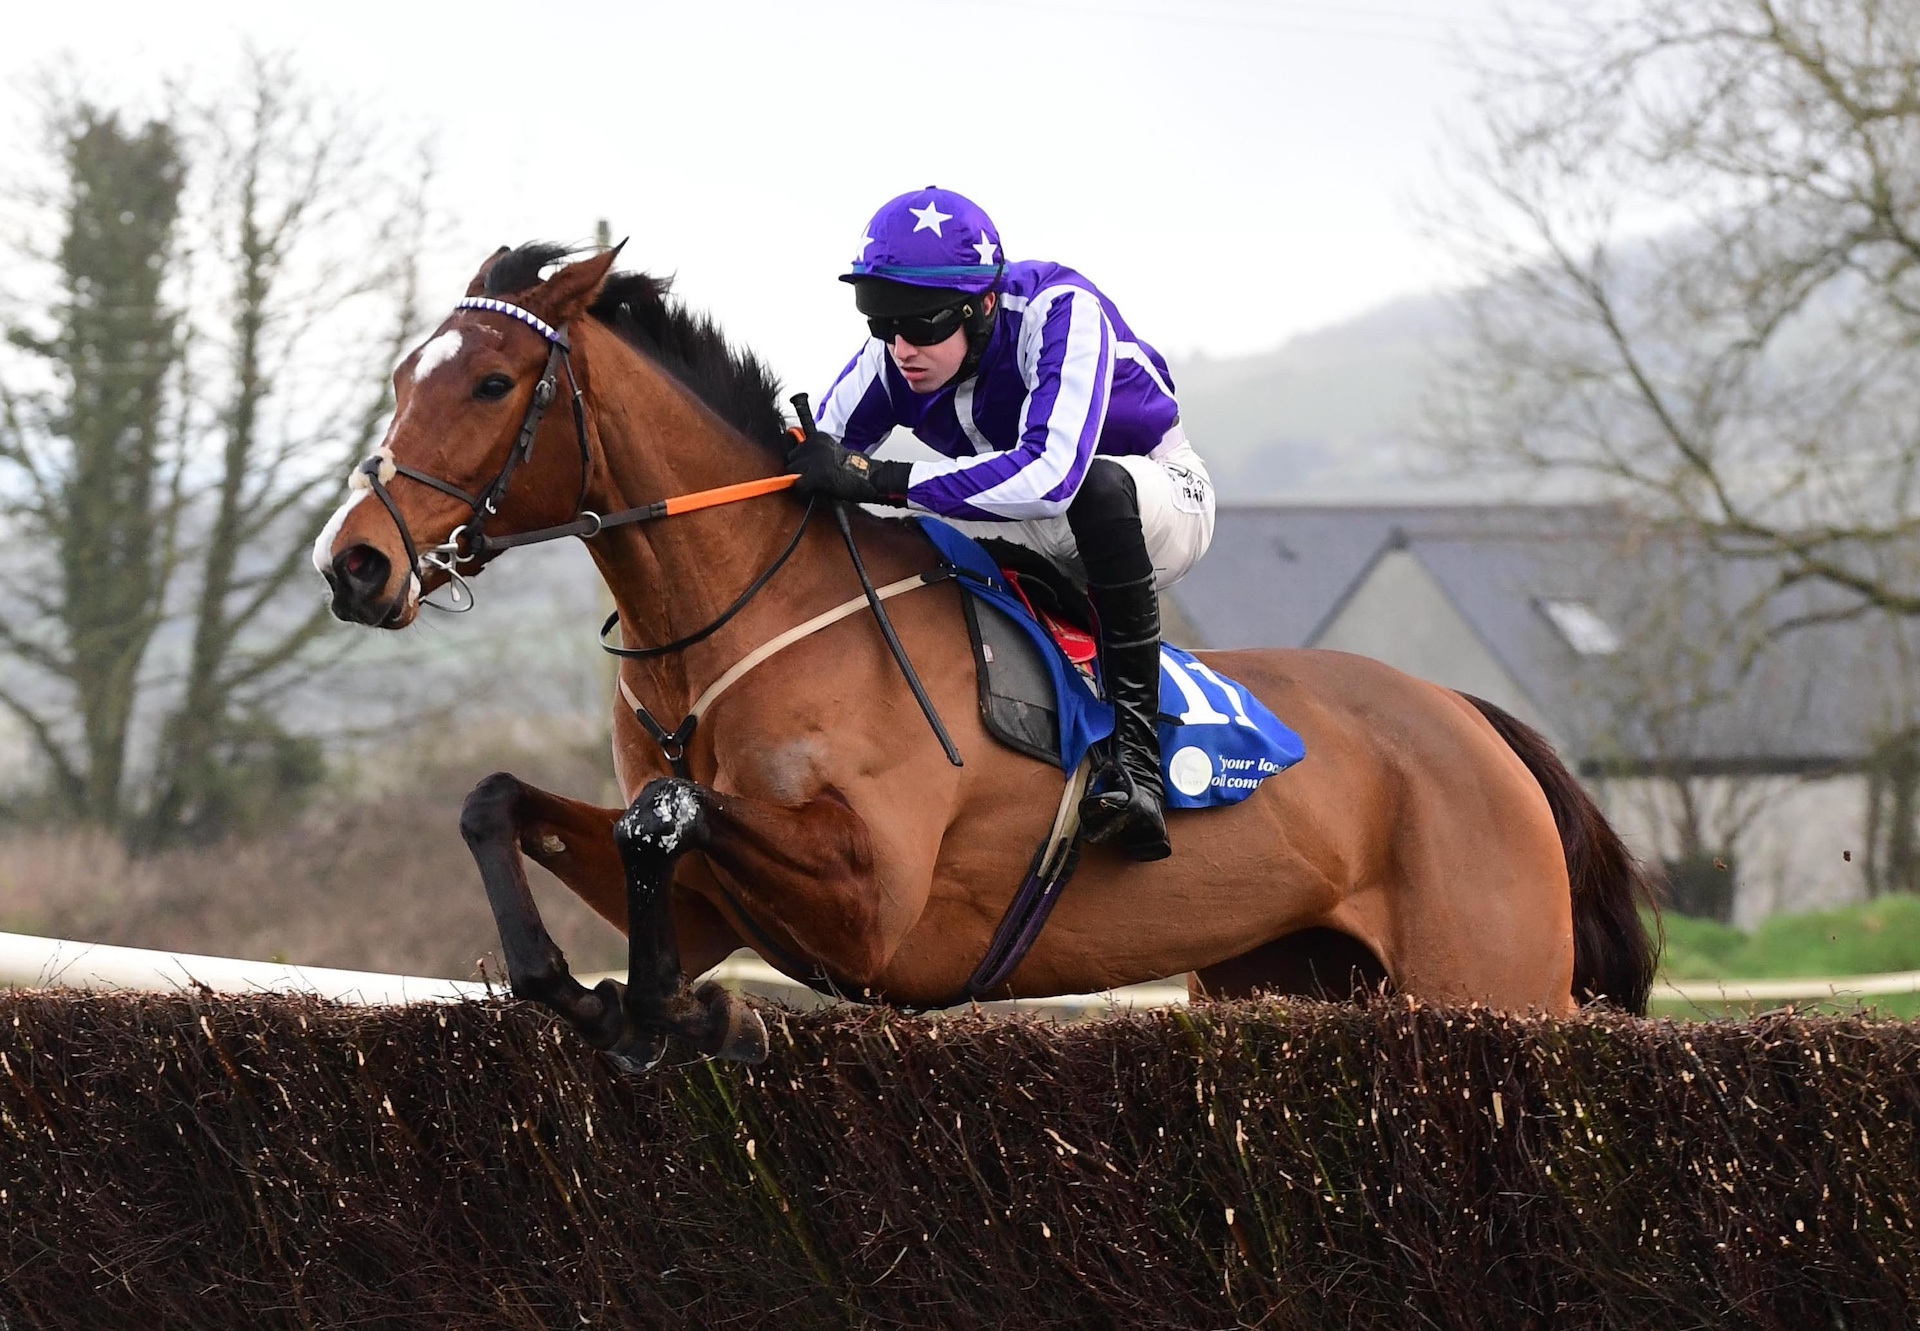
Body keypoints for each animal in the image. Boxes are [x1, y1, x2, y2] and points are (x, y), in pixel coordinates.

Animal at [315, 242, 1660, 1070]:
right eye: (406, 374)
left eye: (493, 382)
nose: (355, 562)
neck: (728, 626)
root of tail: (1473, 718)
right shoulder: (705, 902)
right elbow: (506, 803)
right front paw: (587, 988)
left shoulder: (873, 903)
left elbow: (667, 814)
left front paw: (680, 1015)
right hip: (1289, 979)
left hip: (1491, 981)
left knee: (1102, 483)